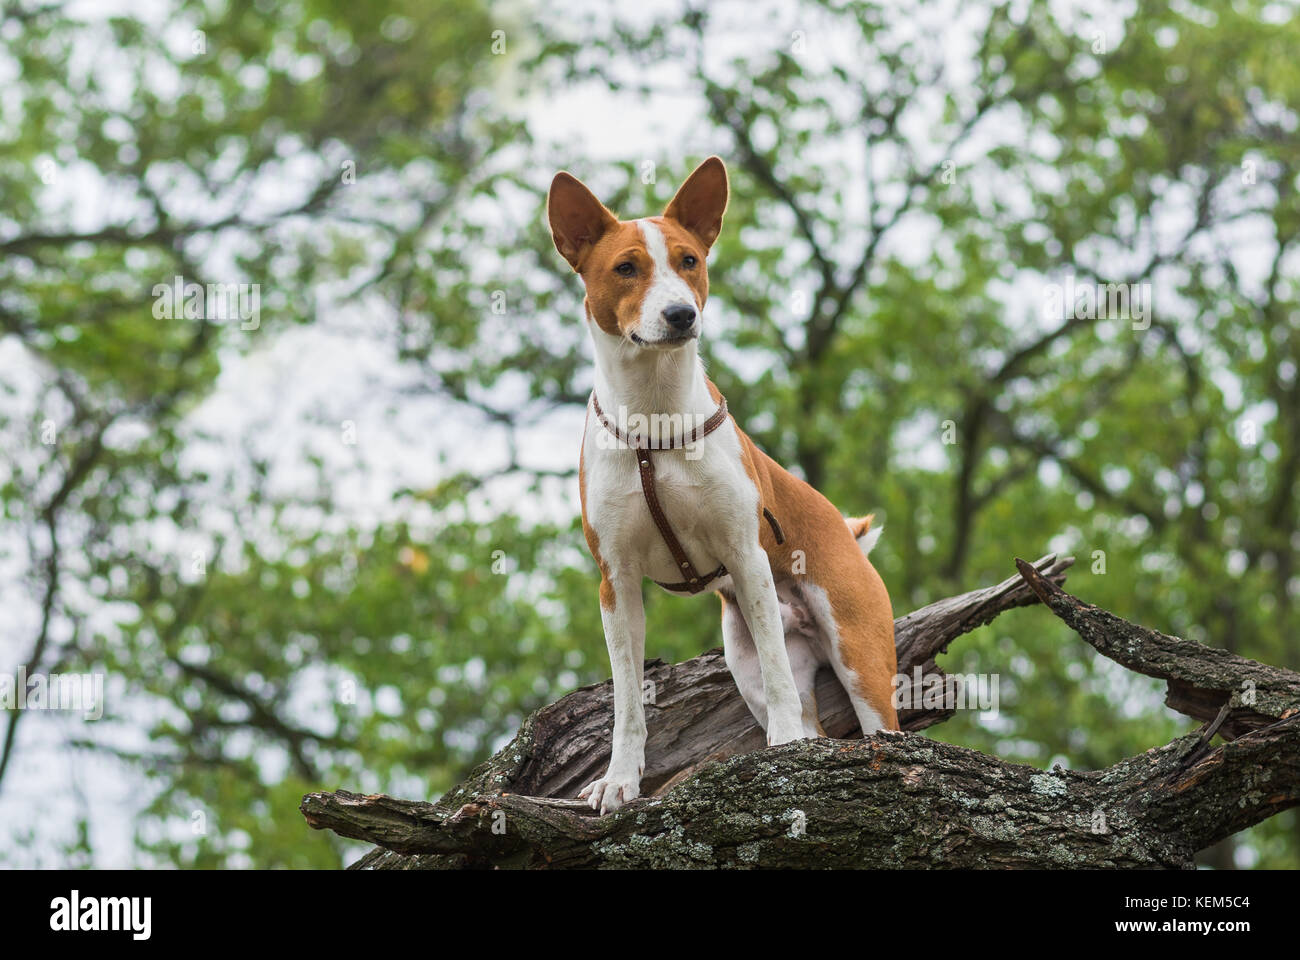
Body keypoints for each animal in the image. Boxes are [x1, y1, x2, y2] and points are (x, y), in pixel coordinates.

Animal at [543, 155, 899, 806]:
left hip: (857, 649)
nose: (681, 313)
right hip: (743, 658)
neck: (654, 416)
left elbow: (782, 682)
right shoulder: (616, 582)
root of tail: (845, 530)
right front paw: (619, 781)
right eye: (626, 268)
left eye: (690, 260)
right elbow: (628, 702)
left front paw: (781, 748)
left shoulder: (745, 553)